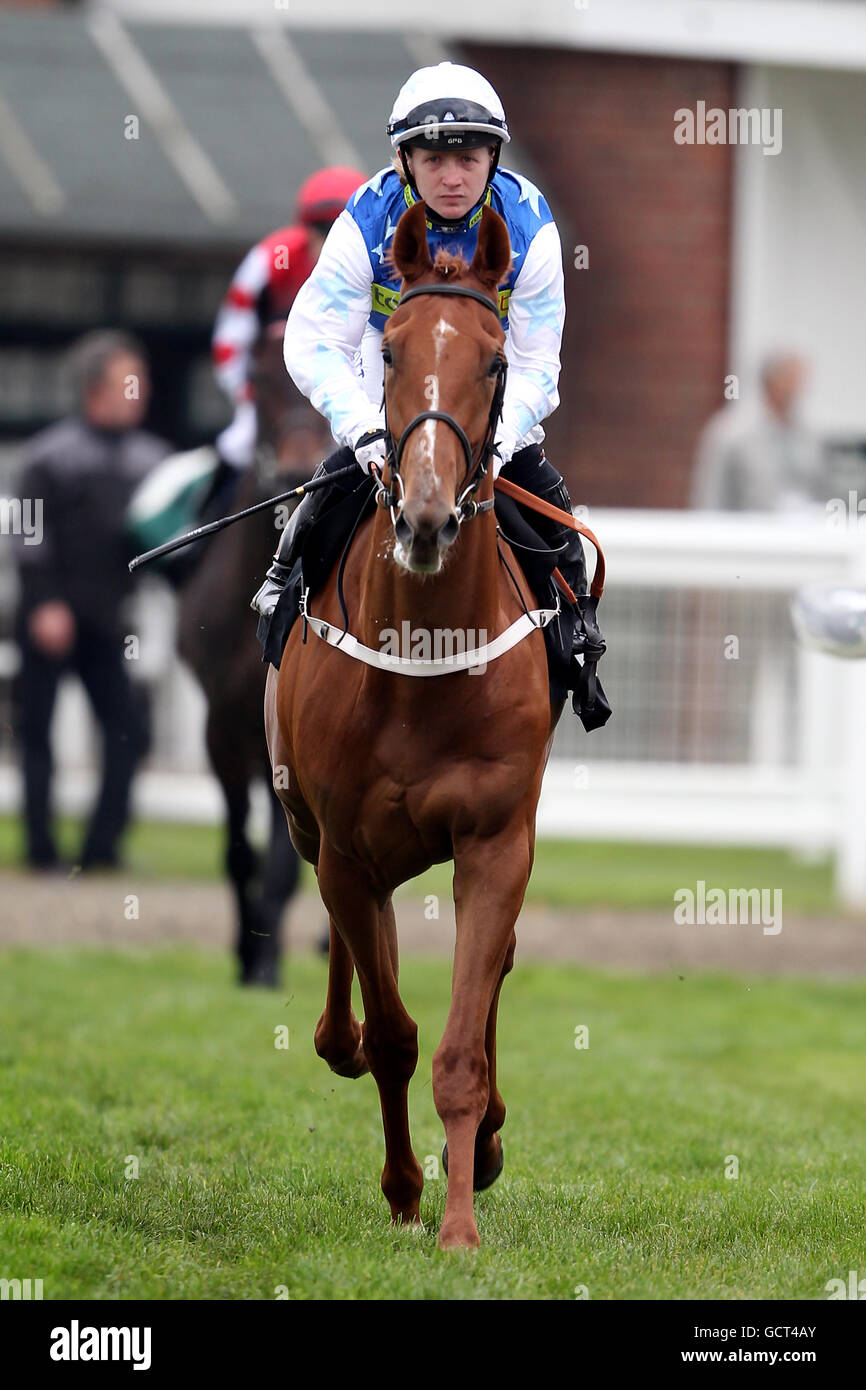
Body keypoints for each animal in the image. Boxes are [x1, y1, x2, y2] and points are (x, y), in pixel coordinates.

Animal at [265, 201, 564, 1247]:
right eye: (389, 351)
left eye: (497, 363)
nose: (428, 517)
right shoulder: (350, 850)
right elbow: (394, 1036)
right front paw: (403, 1190)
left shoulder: (495, 841)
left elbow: (462, 1046)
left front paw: (460, 1223)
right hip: (317, 833)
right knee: (350, 968)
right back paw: (337, 1038)